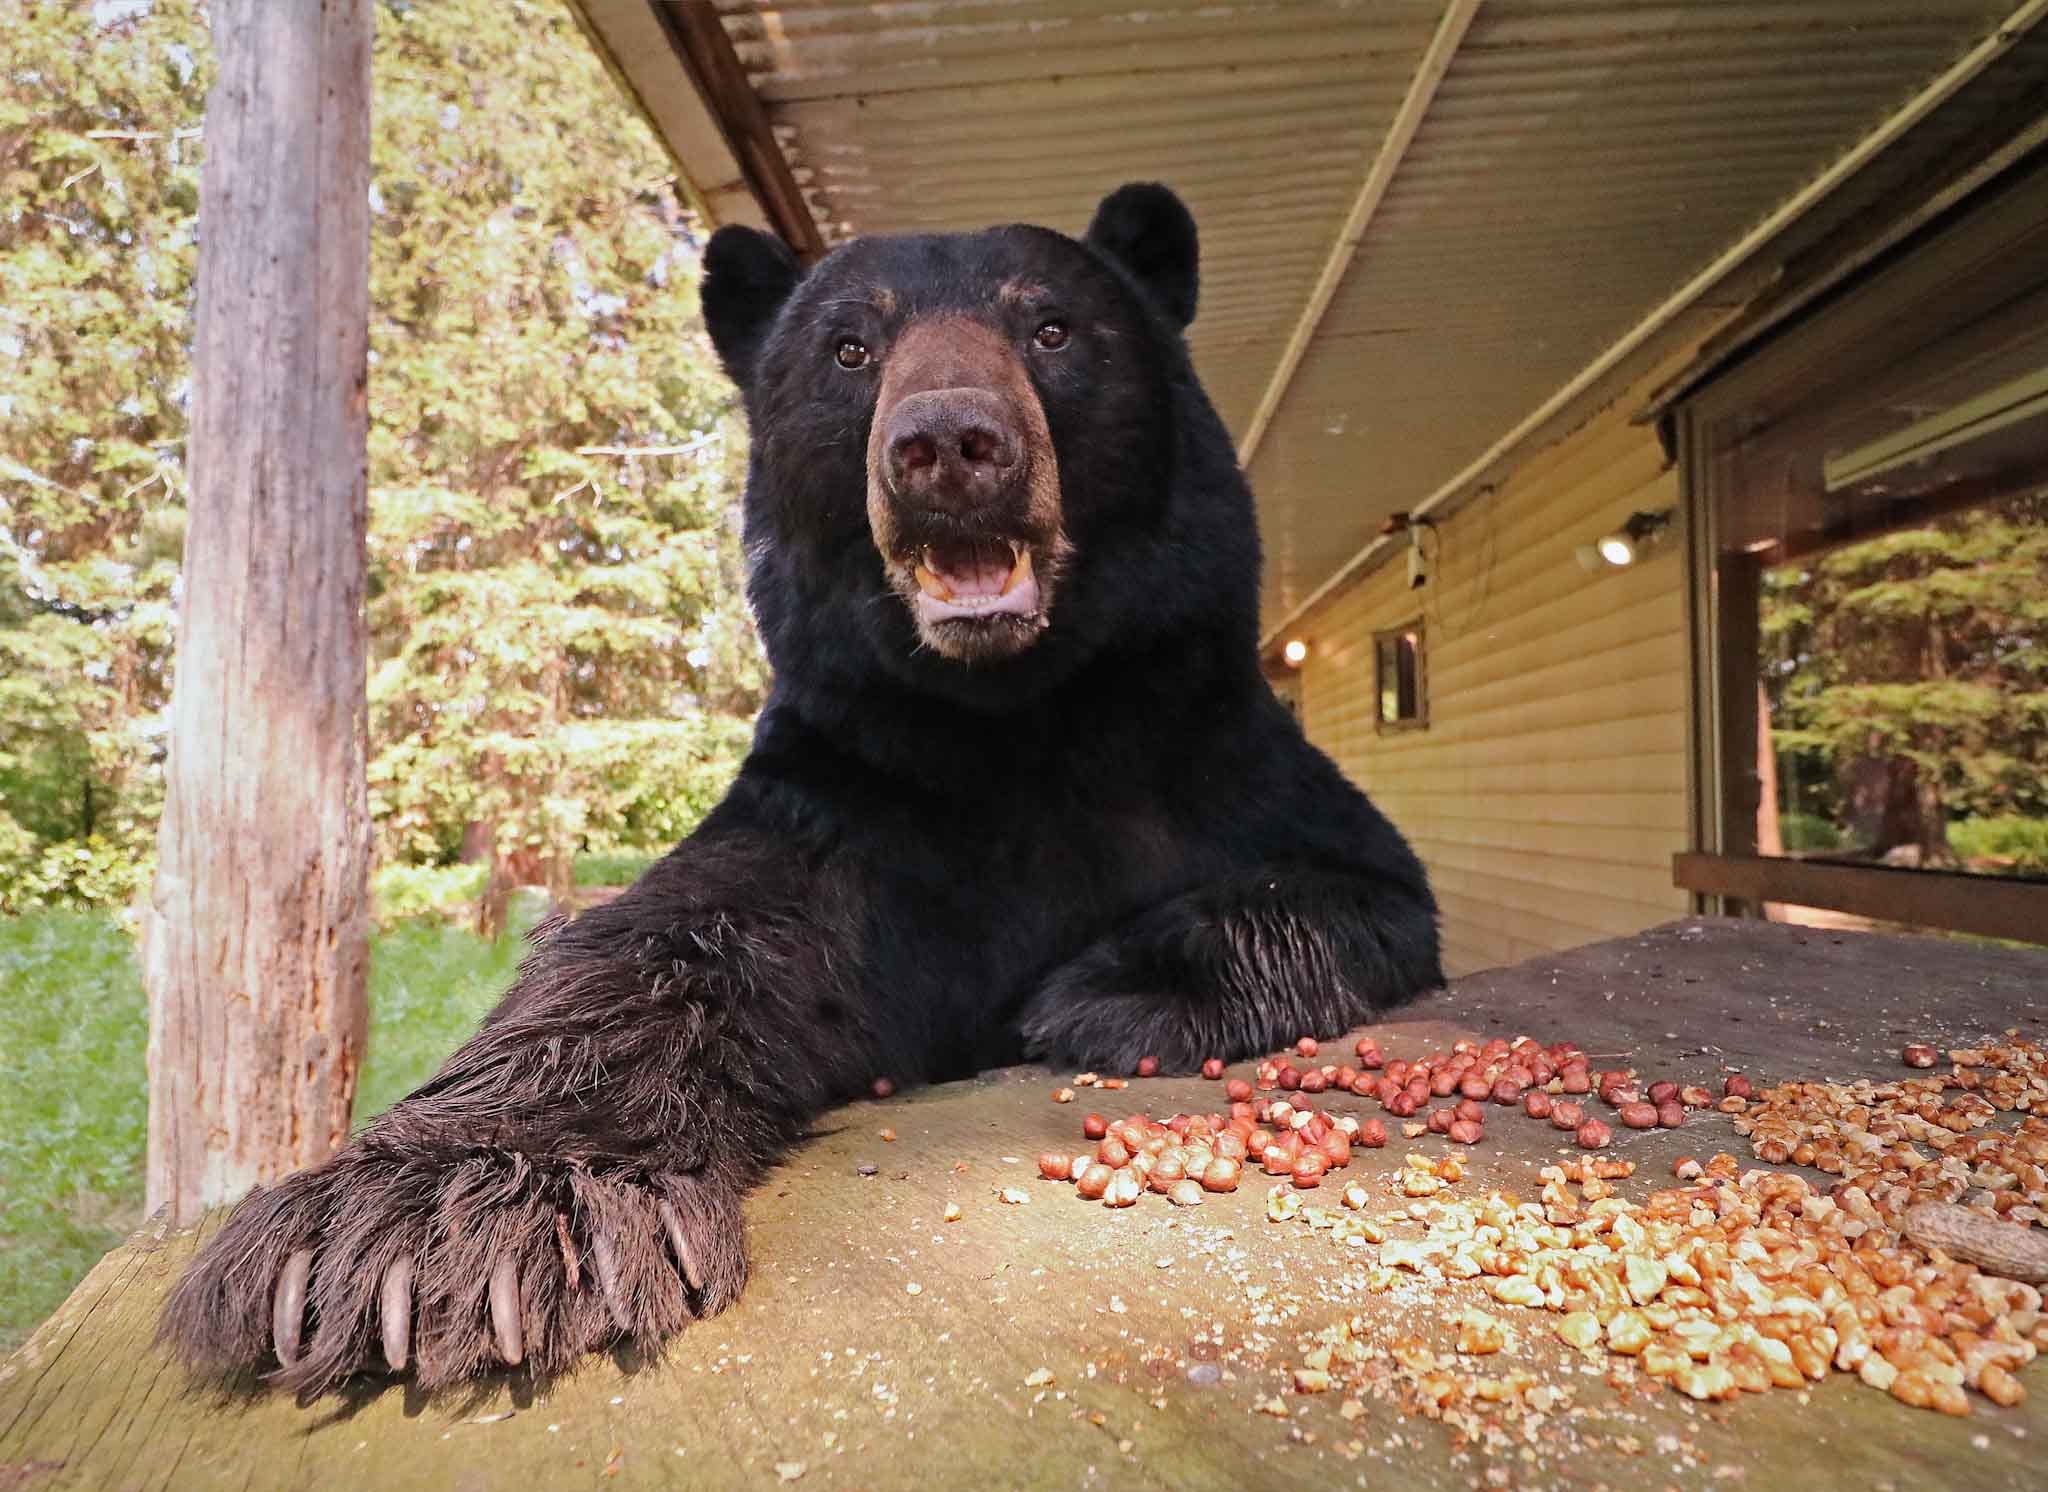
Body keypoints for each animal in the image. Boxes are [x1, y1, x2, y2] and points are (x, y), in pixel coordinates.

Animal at [160, 183, 1441, 1394]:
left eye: (1051, 326)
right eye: (848, 348)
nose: (947, 443)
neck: (1011, 717)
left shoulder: (1208, 748)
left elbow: (1352, 879)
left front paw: (1116, 988)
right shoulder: (849, 785)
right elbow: (674, 935)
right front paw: (429, 1221)